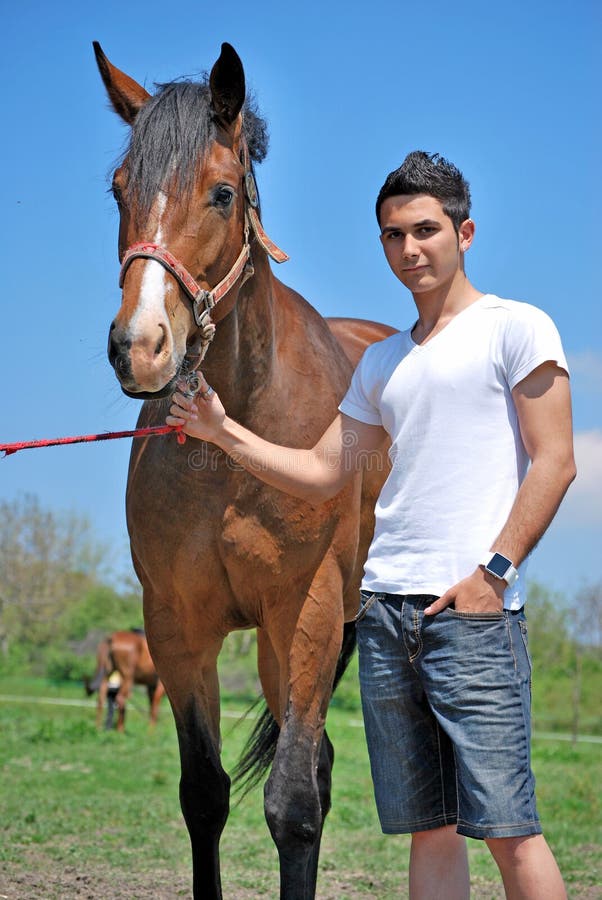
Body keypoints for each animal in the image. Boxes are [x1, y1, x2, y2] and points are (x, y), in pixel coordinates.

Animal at [93, 40, 395, 899]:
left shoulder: (308, 613)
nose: (139, 347)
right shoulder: (177, 625)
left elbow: (292, 802)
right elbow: (205, 794)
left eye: (222, 193)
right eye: (119, 188)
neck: (234, 449)